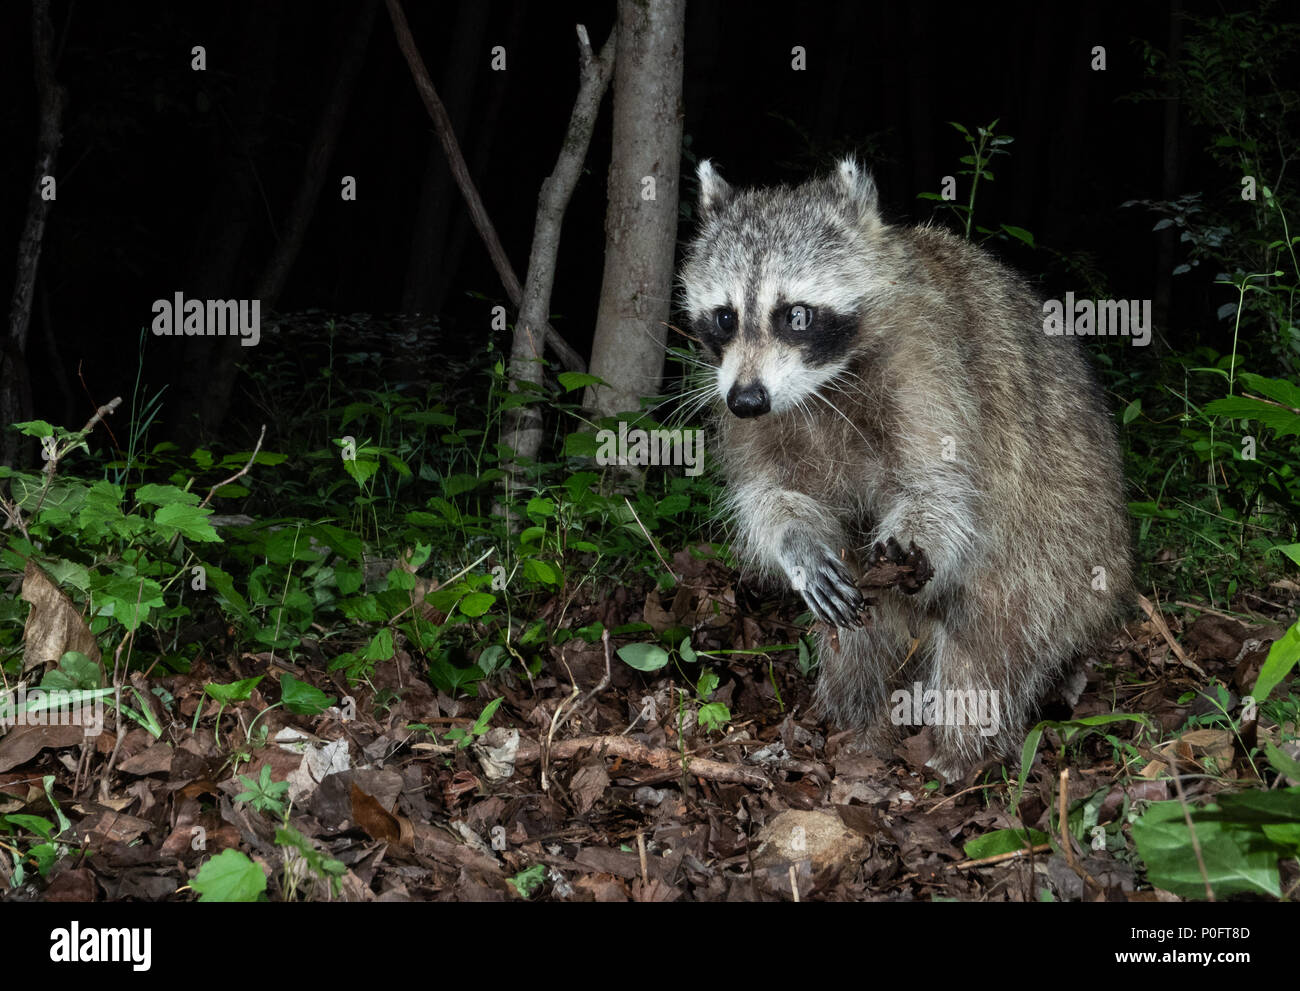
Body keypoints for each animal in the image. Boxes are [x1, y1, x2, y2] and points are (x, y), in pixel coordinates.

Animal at [679, 157, 1132, 778]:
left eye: (796, 314)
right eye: (724, 318)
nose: (747, 399)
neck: (823, 385)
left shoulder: (932, 369)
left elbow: (943, 490)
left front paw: (913, 534)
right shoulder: (752, 409)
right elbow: (770, 494)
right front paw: (796, 544)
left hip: (1060, 554)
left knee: (991, 643)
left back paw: (959, 752)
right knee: (857, 642)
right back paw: (859, 723)